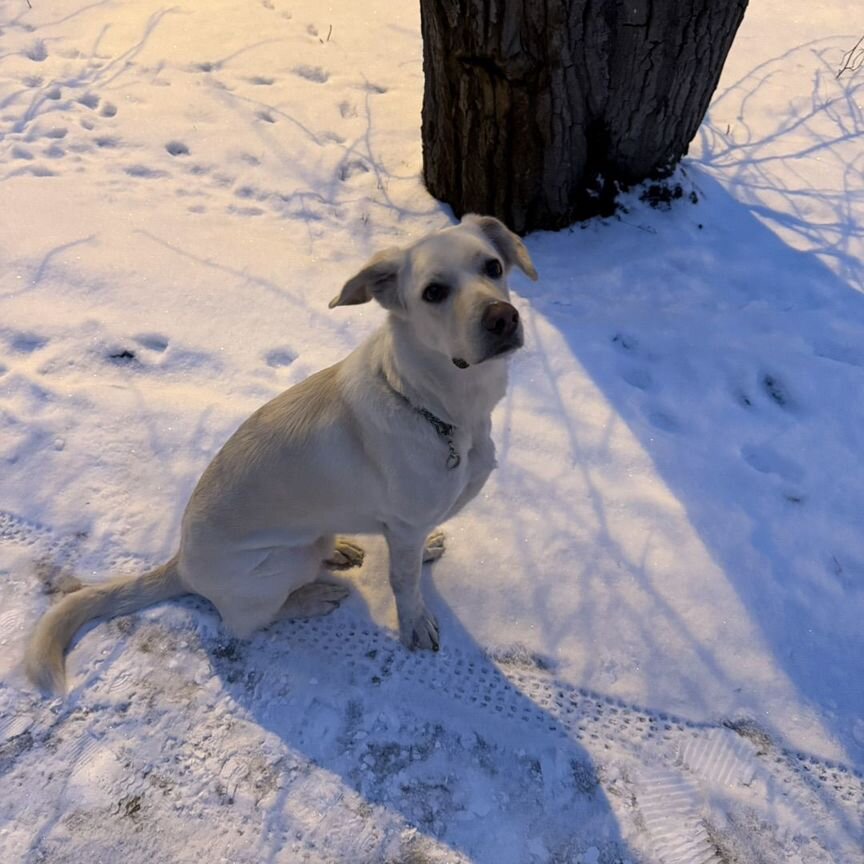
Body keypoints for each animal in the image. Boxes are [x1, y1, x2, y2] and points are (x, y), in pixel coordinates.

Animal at [23, 214, 536, 696]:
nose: (503, 318)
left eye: (492, 267)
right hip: (283, 562)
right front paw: (415, 624)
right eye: (433, 292)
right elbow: (404, 584)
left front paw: (429, 549)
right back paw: (311, 598)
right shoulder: (406, 525)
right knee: (246, 623)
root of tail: (182, 563)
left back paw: (341, 549)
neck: (434, 405)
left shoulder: (408, 528)